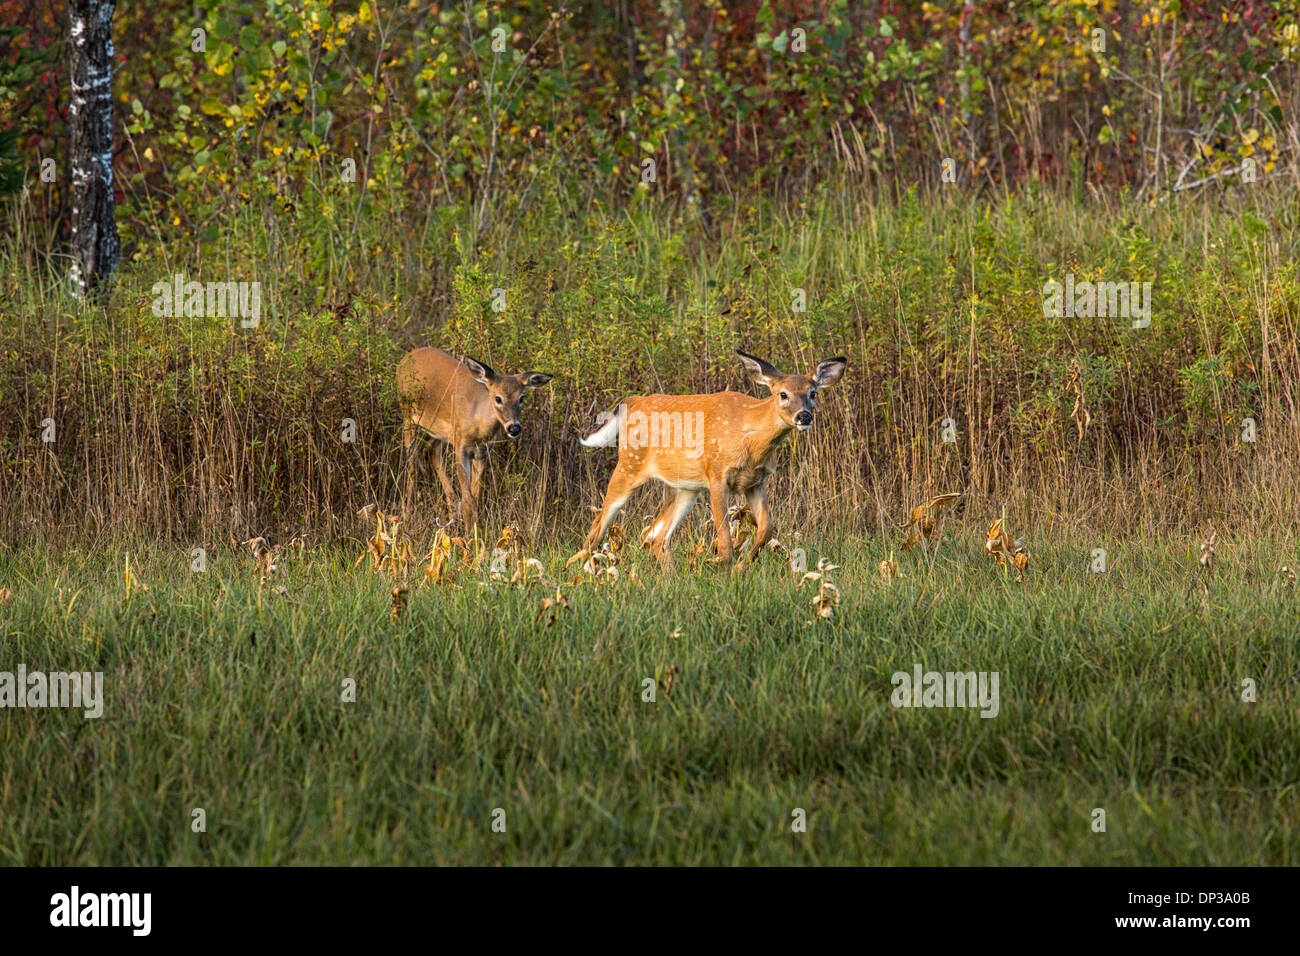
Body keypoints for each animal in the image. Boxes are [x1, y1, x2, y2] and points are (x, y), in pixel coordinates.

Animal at [397, 347, 552, 530]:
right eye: (498, 398)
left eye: (521, 398)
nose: (514, 428)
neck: (479, 426)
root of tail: (406, 358)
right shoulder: (461, 447)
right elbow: (468, 500)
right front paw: (470, 533)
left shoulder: (482, 452)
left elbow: (476, 496)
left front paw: (477, 529)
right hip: (408, 416)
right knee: (411, 463)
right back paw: (407, 515)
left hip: (439, 432)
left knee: (431, 452)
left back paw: (452, 513)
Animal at [578, 348, 846, 569]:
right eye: (783, 394)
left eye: (813, 393)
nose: (804, 416)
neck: (749, 441)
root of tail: (632, 401)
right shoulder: (717, 474)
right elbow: (725, 541)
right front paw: (723, 570)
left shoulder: (755, 481)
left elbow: (766, 530)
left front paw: (741, 569)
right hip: (629, 465)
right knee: (596, 529)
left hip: (685, 488)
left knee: (656, 536)